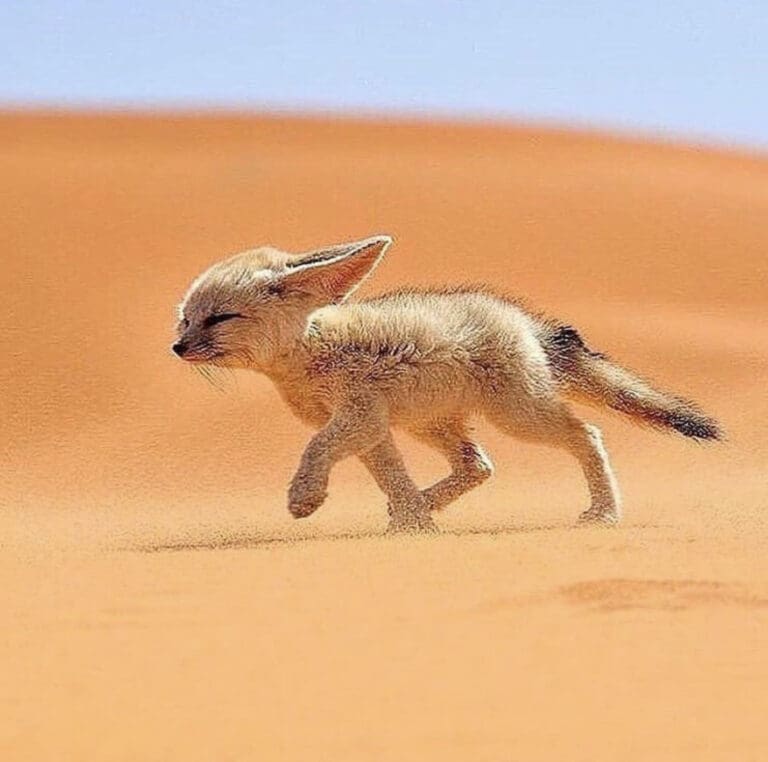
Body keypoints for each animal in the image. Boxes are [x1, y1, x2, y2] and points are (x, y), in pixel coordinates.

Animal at [172, 235, 721, 533]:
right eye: (185, 319)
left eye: (219, 318)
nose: (177, 348)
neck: (311, 352)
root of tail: (523, 321)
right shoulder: (372, 428)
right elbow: (390, 475)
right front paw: (414, 522)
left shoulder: (358, 416)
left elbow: (316, 448)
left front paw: (305, 498)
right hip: (431, 424)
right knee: (478, 465)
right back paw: (421, 504)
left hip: (519, 417)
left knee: (586, 433)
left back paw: (604, 512)